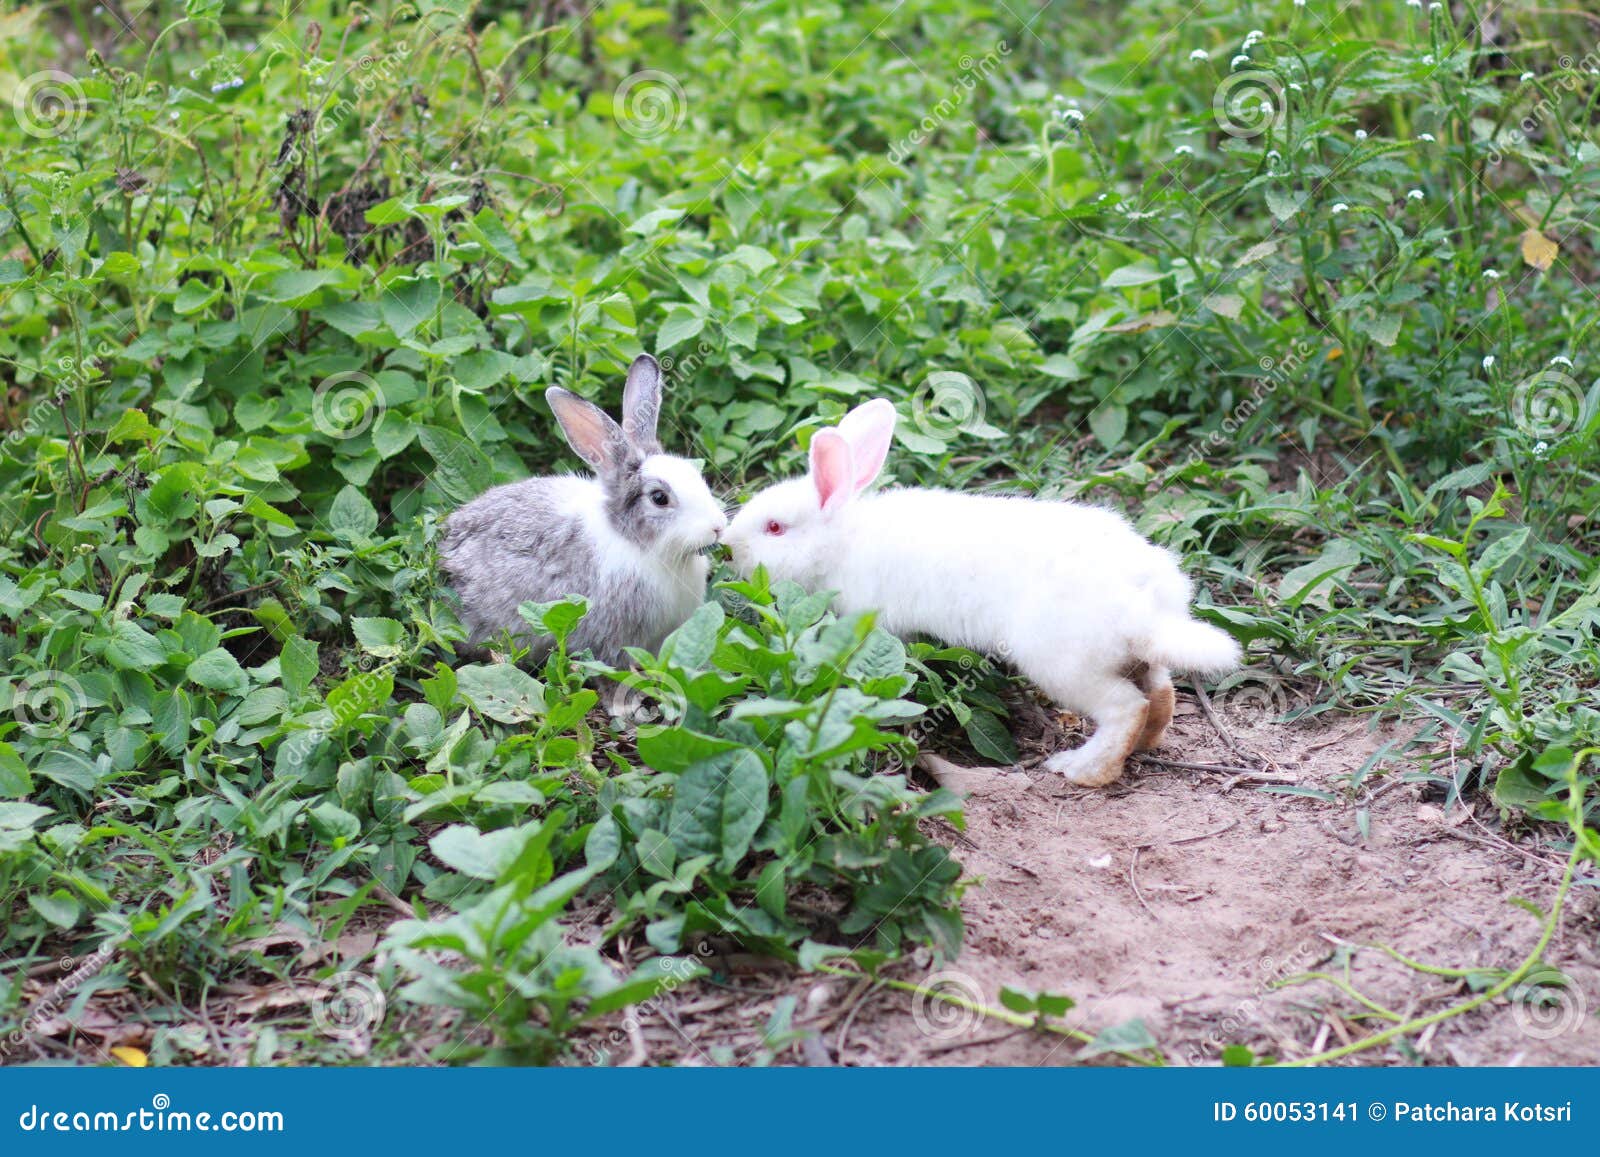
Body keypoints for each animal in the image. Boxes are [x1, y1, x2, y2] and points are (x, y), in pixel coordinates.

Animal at [722, 397, 1241, 788]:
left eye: (774, 528)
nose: (729, 546)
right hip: (1133, 659)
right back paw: (1146, 744)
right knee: (1160, 693)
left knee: (1126, 708)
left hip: (1063, 664)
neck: (840, 541)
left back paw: (1082, 770)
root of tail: (1149, 611)